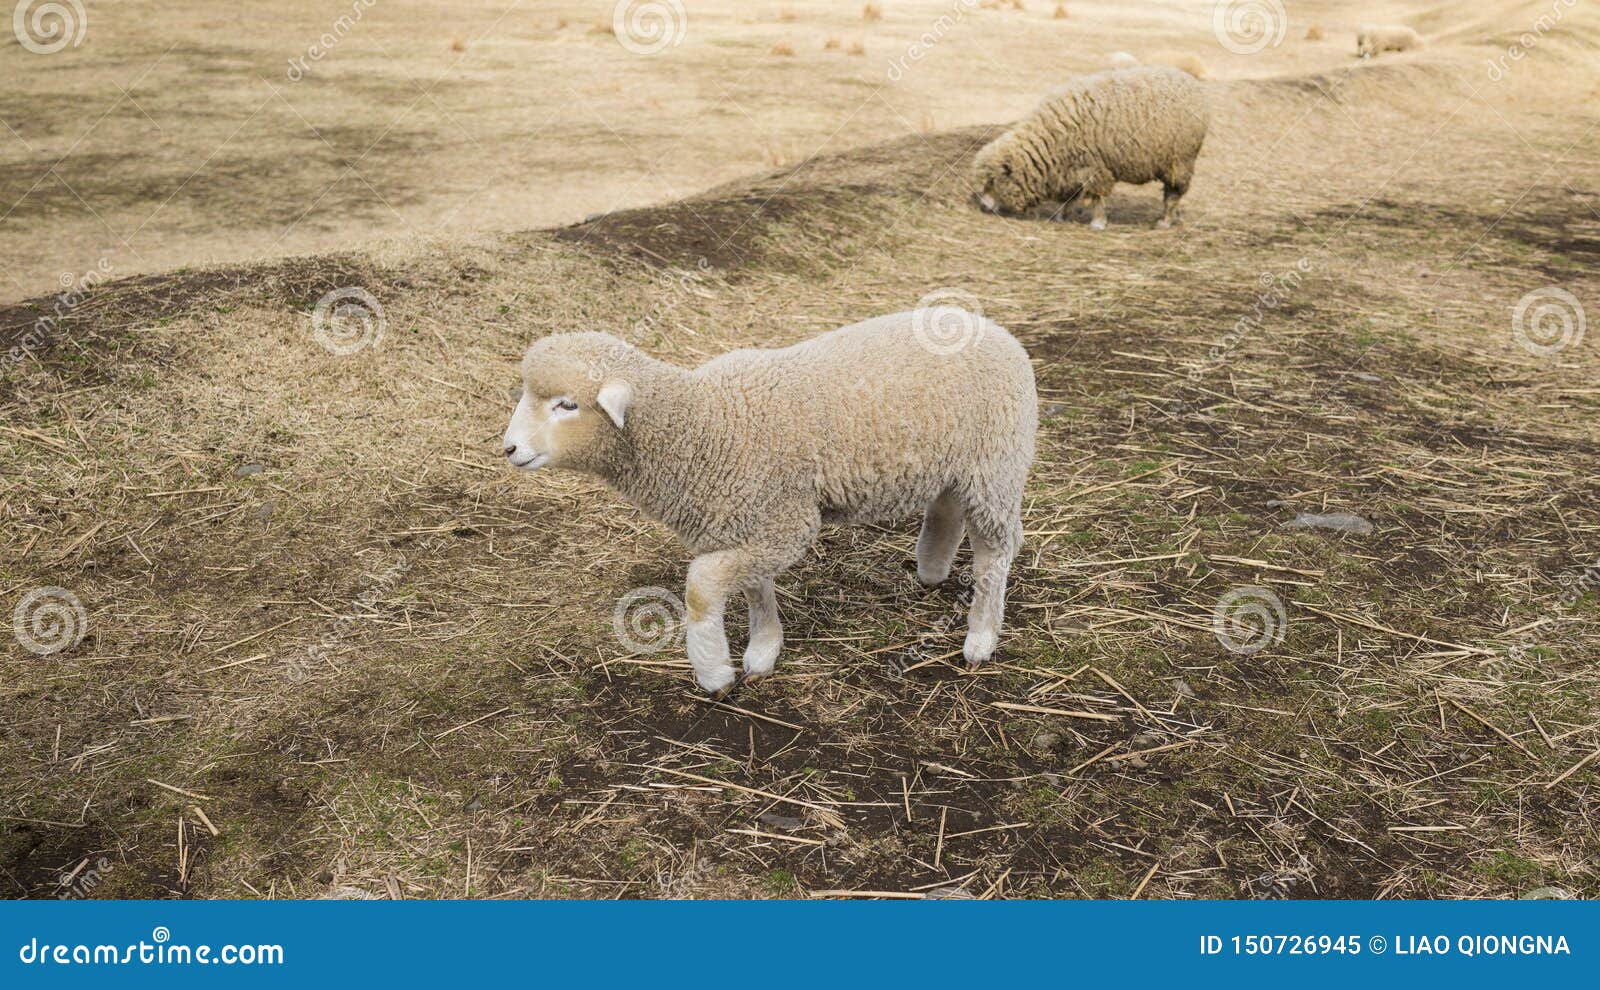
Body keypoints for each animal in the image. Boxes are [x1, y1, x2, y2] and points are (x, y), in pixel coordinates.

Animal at [502, 310, 1038, 696]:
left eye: (567, 405)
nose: (508, 449)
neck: (705, 426)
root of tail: (991, 327)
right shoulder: (744, 519)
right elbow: (754, 588)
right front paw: (763, 650)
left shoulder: (785, 523)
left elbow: (701, 587)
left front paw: (715, 673)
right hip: (957, 463)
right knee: (948, 508)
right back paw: (931, 566)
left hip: (997, 463)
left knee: (996, 550)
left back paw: (981, 637)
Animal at [973, 66, 1208, 230]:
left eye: (992, 181)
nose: (982, 207)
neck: (1052, 139)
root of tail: (1192, 84)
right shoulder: (1073, 168)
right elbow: (1071, 195)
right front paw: (1061, 216)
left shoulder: (1095, 167)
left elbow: (1096, 197)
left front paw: (1098, 222)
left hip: (1179, 161)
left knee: (1173, 194)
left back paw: (1165, 221)